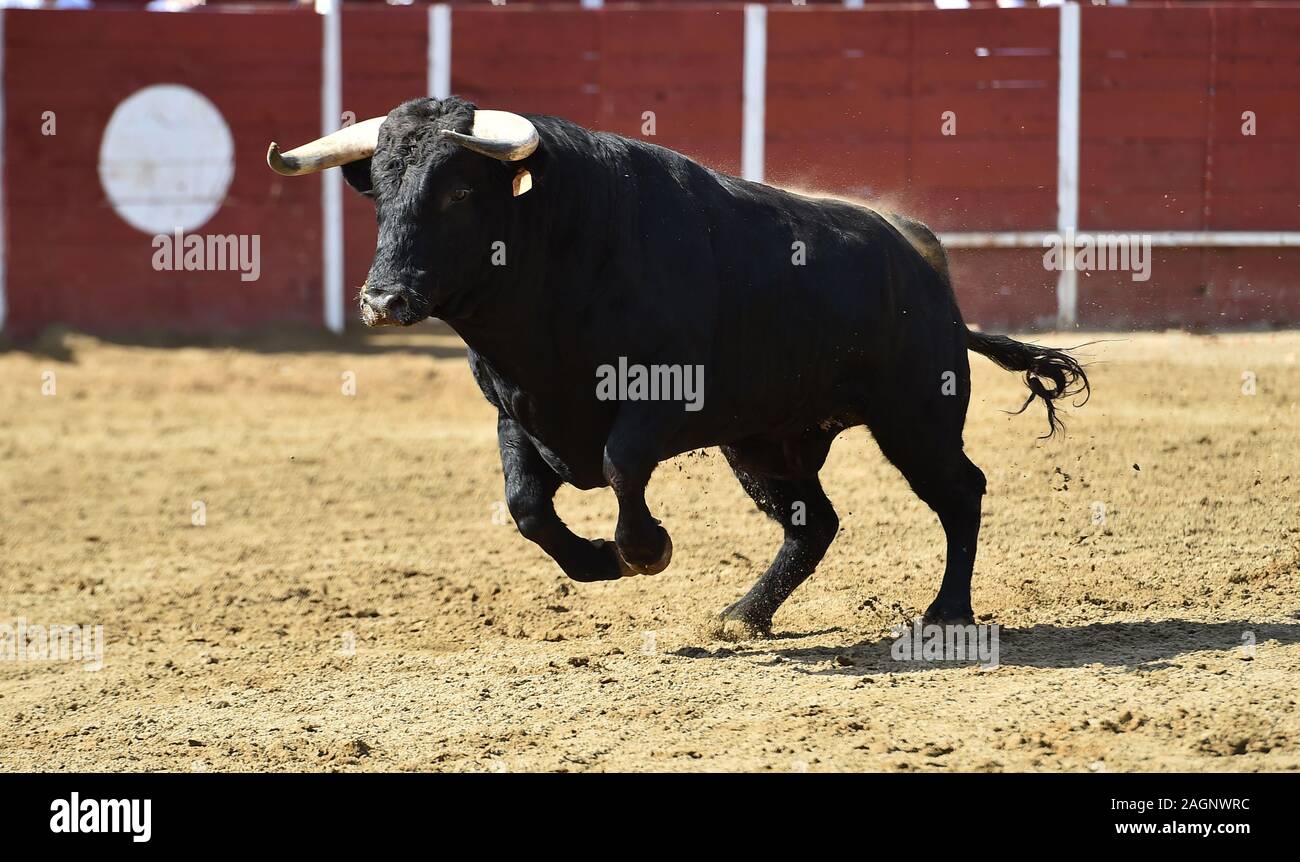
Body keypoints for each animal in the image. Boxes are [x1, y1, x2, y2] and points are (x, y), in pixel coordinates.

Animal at [267, 97, 1089, 636]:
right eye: (381, 194)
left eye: (462, 191)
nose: (383, 299)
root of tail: (919, 256)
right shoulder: (513, 409)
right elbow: (526, 505)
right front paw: (599, 561)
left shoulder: (663, 397)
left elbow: (621, 465)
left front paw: (645, 550)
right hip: (763, 443)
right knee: (814, 522)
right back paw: (743, 616)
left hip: (915, 418)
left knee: (960, 492)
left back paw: (946, 612)